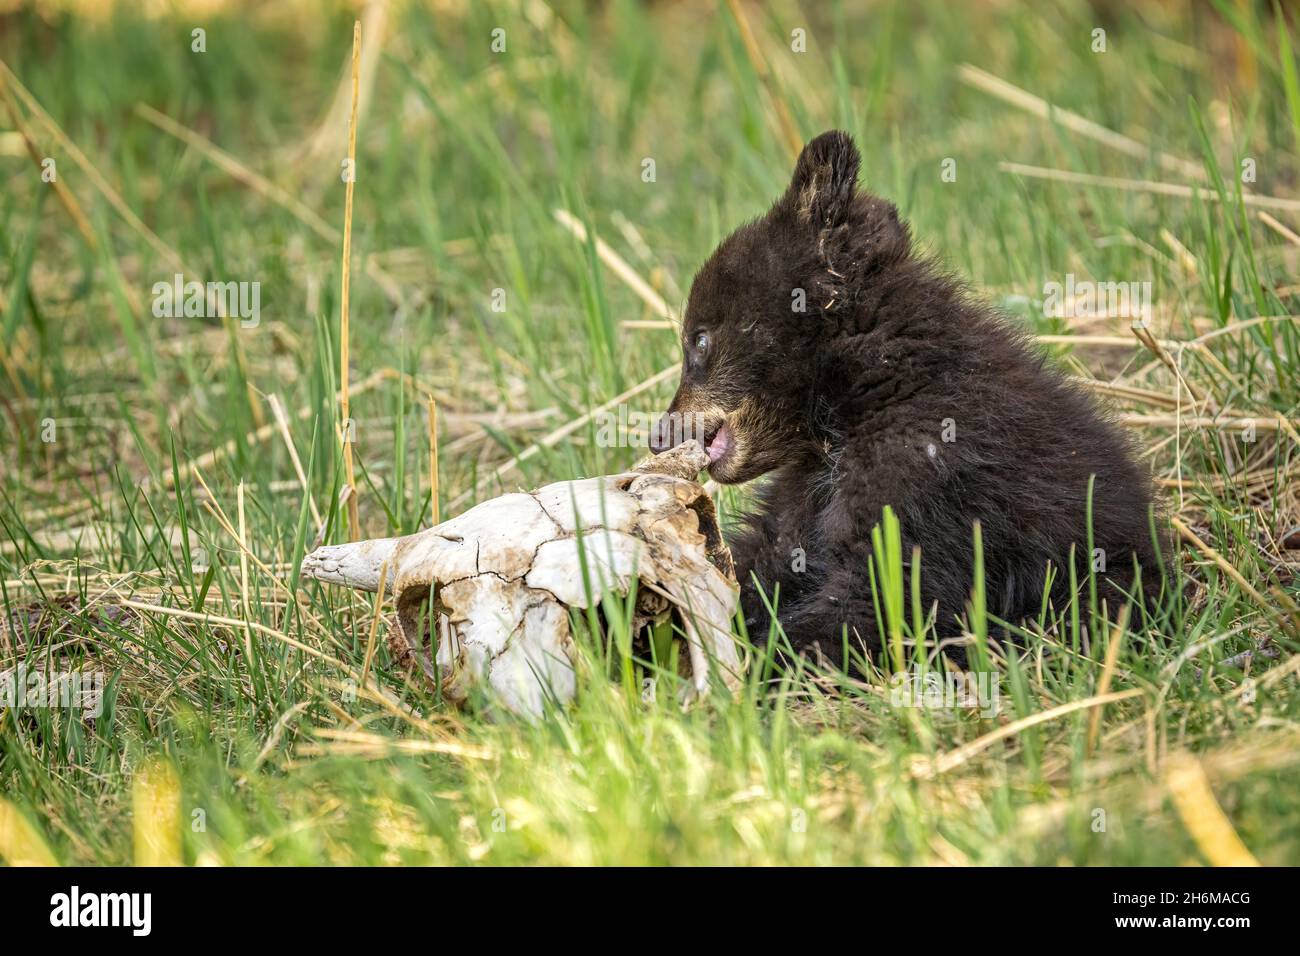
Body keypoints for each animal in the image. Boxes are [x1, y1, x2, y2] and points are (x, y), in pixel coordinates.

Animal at [649, 130, 1166, 667]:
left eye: (698, 339)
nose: (658, 436)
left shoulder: (929, 474)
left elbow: (887, 594)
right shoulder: (810, 485)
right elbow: (770, 554)